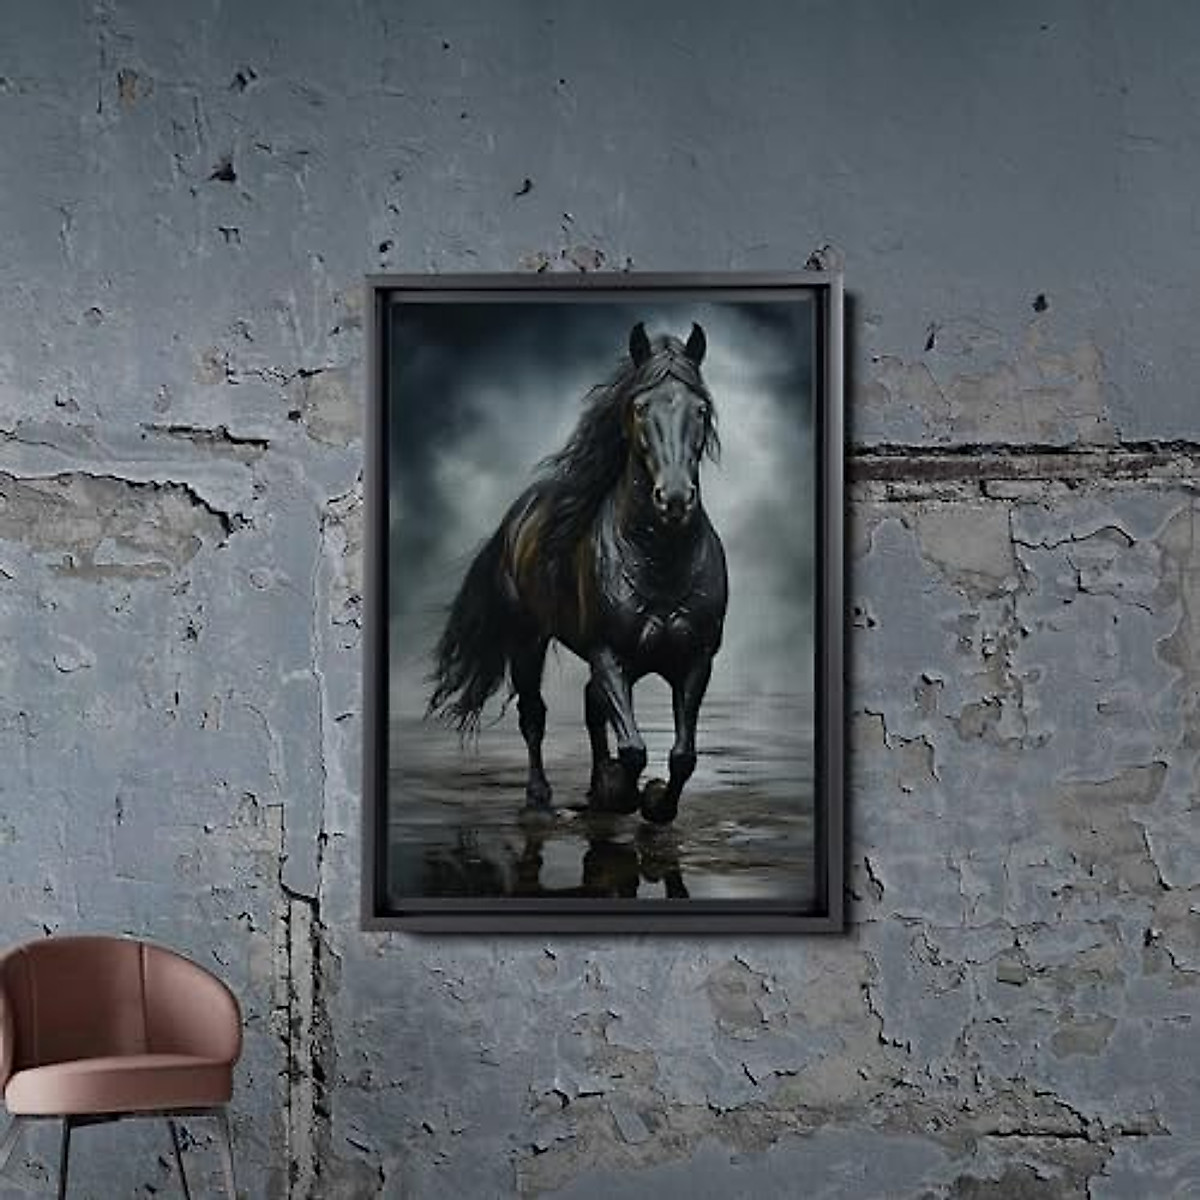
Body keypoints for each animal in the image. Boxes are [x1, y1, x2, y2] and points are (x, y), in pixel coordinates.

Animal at [427, 321, 728, 825]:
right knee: (534, 716)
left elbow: (682, 756)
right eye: (640, 407)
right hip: (528, 642)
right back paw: (541, 797)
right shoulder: (609, 653)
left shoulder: (695, 660)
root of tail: (515, 518)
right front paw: (620, 792)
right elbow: (633, 750)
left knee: (591, 708)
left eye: (700, 409)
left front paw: (651, 802)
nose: (674, 500)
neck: (659, 561)